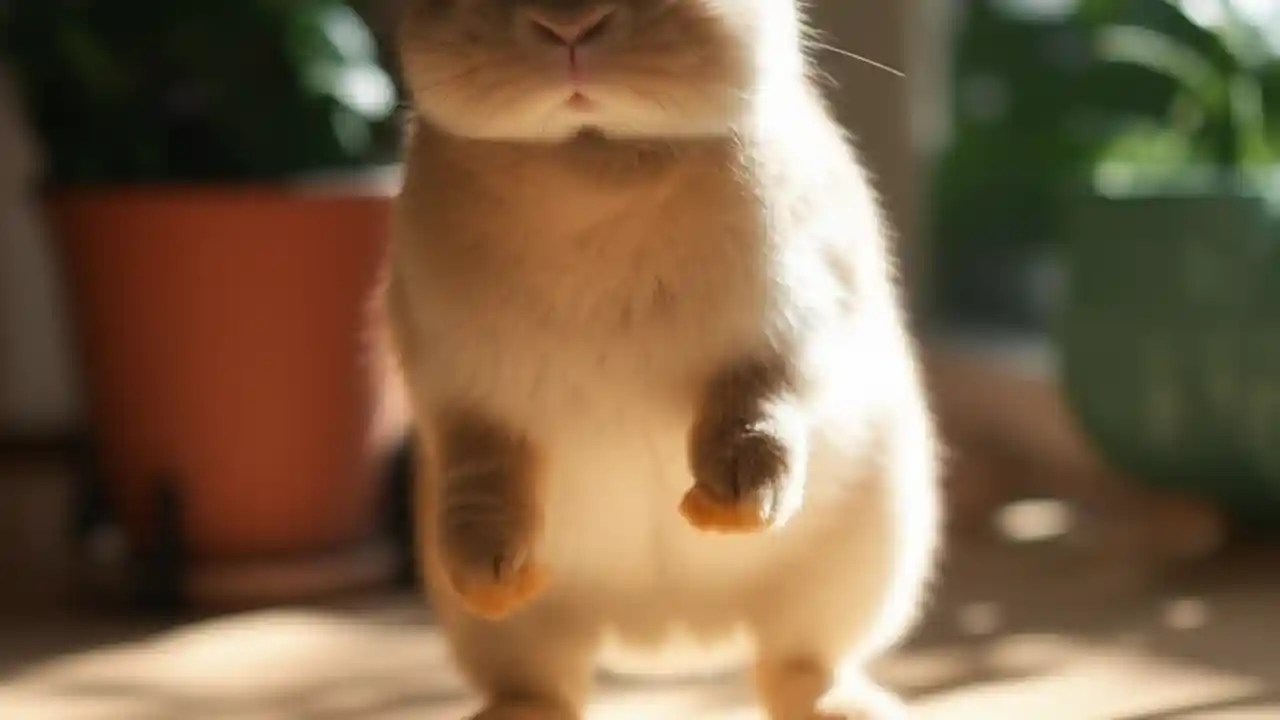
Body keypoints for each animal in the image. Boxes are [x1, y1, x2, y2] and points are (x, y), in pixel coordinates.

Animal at [384, 0, 940, 717]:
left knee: (797, 663)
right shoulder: (460, 395)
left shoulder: (791, 332)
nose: (570, 30)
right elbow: (484, 472)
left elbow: (758, 413)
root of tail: (668, 633)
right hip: (507, 635)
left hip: (857, 565)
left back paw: (845, 706)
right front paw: (492, 571)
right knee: (543, 681)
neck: (593, 156)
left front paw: (737, 503)